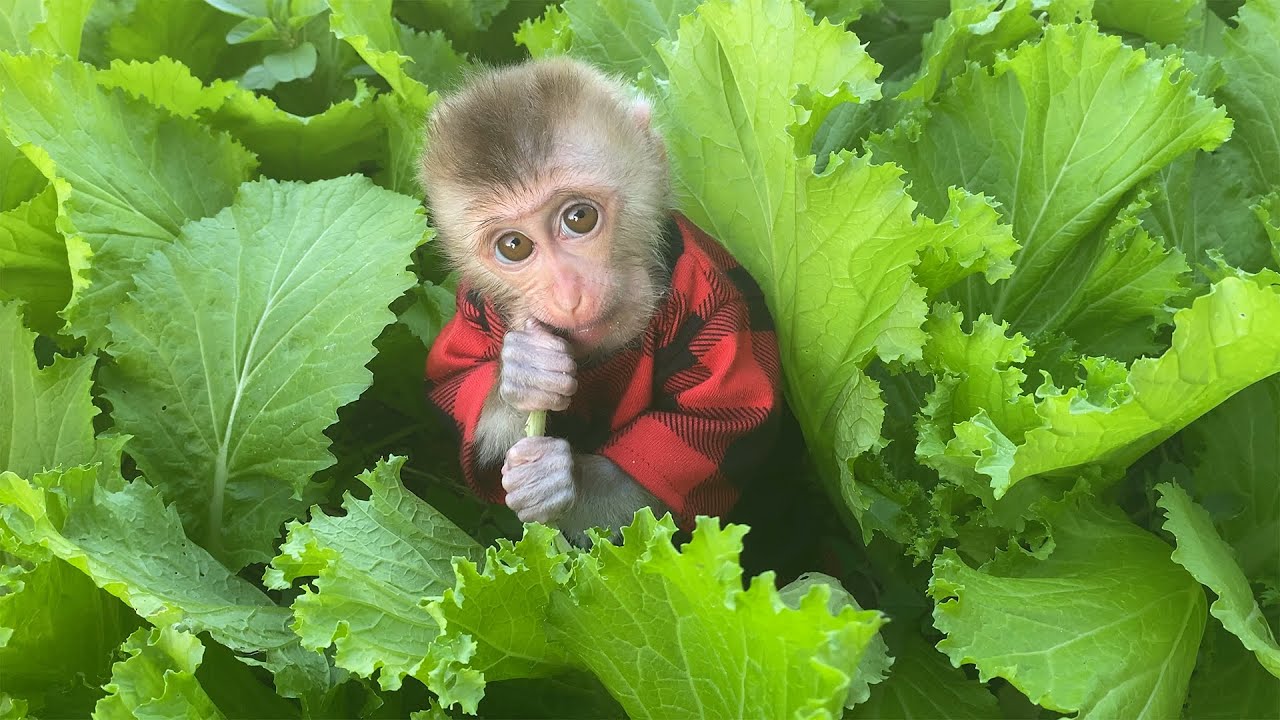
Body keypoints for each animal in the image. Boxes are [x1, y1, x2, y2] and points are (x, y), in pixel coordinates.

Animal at [417, 57, 819, 571]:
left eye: (579, 218)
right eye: (514, 246)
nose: (569, 296)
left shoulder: (724, 319)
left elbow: (682, 482)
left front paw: (558, 479)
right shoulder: (474, 305)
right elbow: (449, 385)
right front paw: (523, 371)